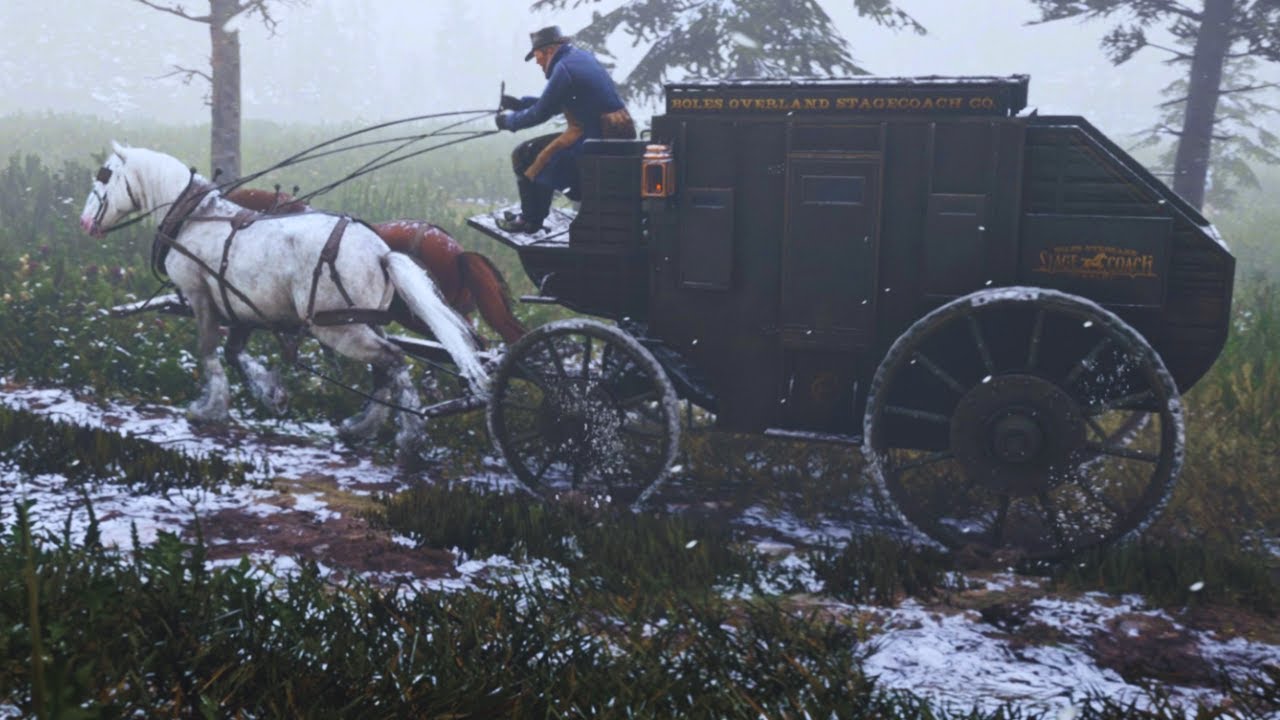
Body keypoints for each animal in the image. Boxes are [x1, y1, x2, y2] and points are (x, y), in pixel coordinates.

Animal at [79, 142, 489, 457]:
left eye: (104, 175)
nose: (84, 223)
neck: (195, 218)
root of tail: (382, 253)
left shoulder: (201, 297)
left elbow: (209, 351)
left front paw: (209, 407)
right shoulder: (241, 309)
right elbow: (233, 354)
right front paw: (270, 393)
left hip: (339, 330)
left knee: (394, 362)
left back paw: (406, 435)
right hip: (361, 321)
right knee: (385, 371)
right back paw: (363, 427)